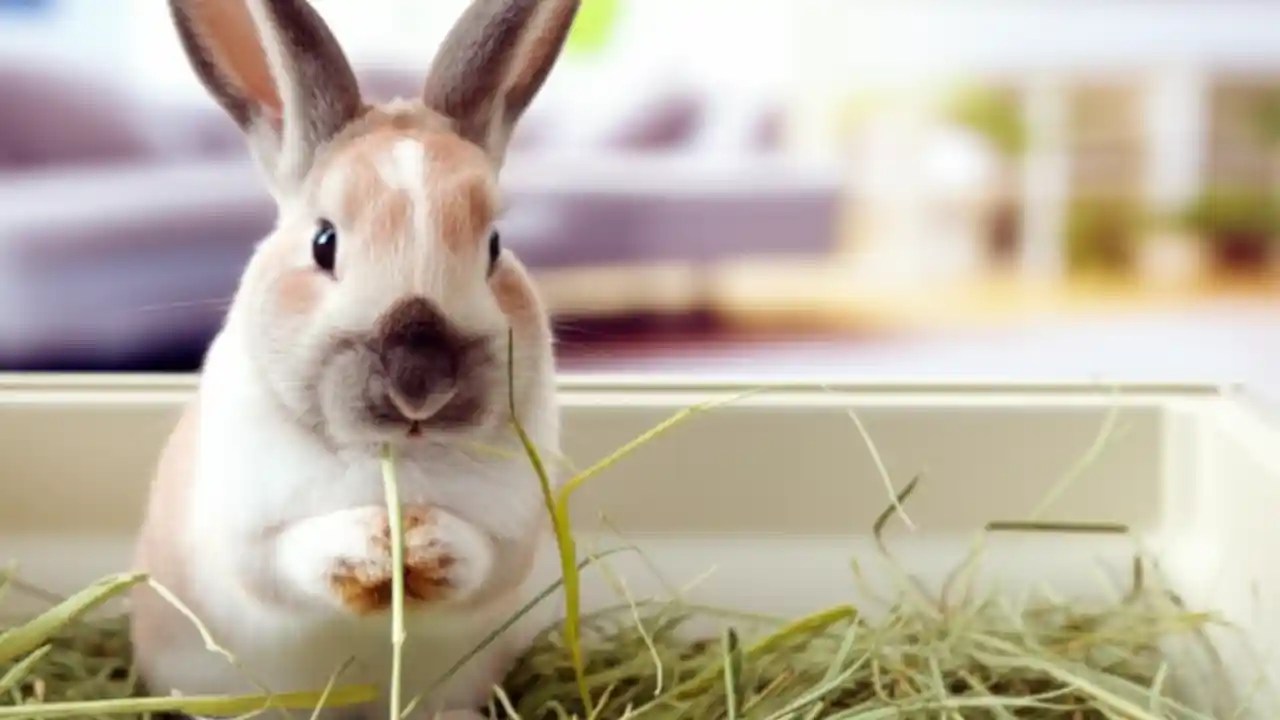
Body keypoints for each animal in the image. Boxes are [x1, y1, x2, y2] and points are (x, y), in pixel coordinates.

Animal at [128, 0, 580, 717]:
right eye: (324, 242)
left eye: (494, 247)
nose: (419, 381)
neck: (394, 455)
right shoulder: (250, 537)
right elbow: (293, 552)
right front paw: (374, 545)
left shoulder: (512, 536)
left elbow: (480, 557)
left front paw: (429, 546)